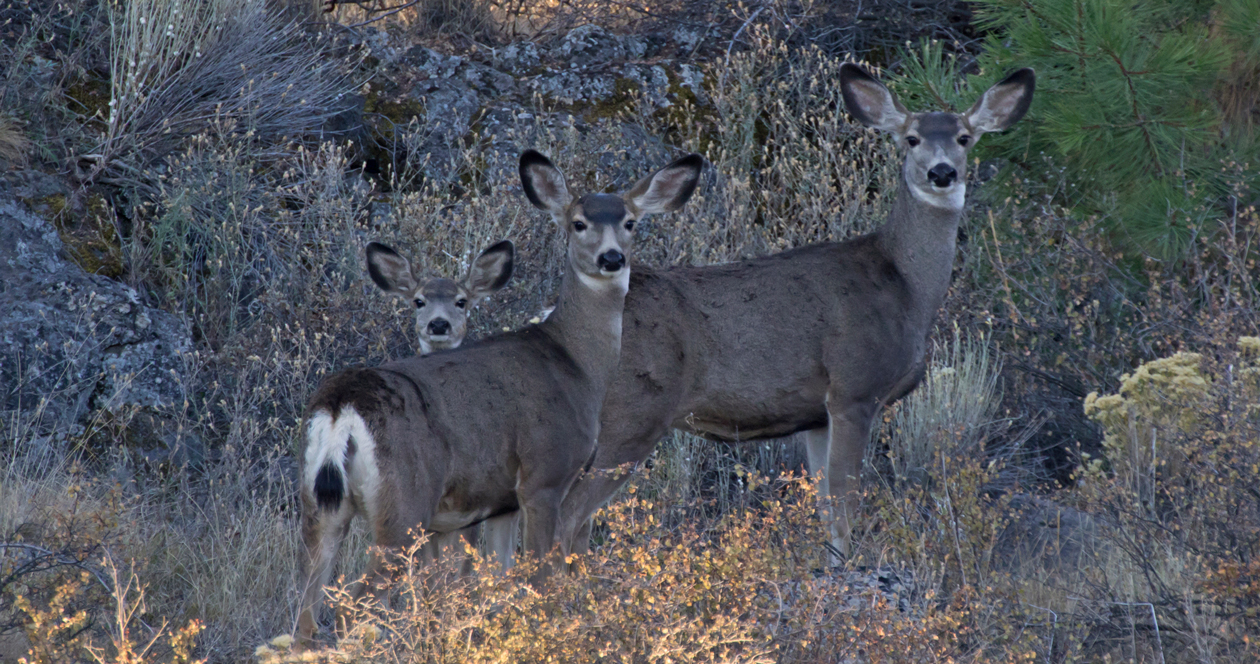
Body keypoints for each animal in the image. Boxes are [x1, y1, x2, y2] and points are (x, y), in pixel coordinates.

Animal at [295, 149, 704, 645]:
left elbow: (500, 578)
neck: (576, 364)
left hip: (319, 506)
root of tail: (341, 406)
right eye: (579, 223)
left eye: (629, 221)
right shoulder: (544, 475)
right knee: (353, 604)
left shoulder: (501, 503)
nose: (611, 257)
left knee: (306, 610)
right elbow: (541, 577)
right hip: (404, 506)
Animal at [552, 63, 1036, 563]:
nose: (942, 172)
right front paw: (849, 566)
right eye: (912, 138)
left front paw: (832, 563)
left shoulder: (818, 415)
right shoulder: (854, 387)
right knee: (567, 515)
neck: (904, 286)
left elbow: (825, 504)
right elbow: (845, 498)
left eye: (963, 137)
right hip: (633, 412)